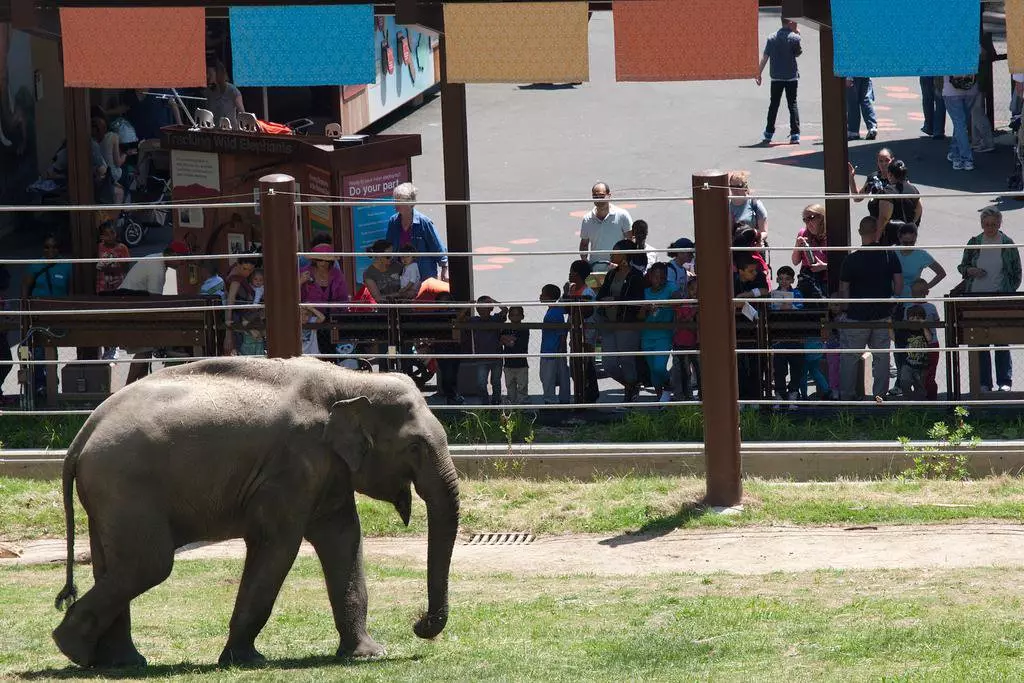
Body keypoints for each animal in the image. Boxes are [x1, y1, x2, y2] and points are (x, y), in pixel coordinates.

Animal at [50, 356, 460, 671]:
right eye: (415, 447)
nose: (419, 624)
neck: (349, 381)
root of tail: (81, 436)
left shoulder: (327, 469)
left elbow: (344, 539)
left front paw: (367, 655)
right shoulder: (292, 467)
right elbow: (277, 545)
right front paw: (246, 661)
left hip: (108, 495)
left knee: (115, 565)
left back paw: (119, 662)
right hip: (125, 487)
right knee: (148, 564)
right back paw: (73, 648)